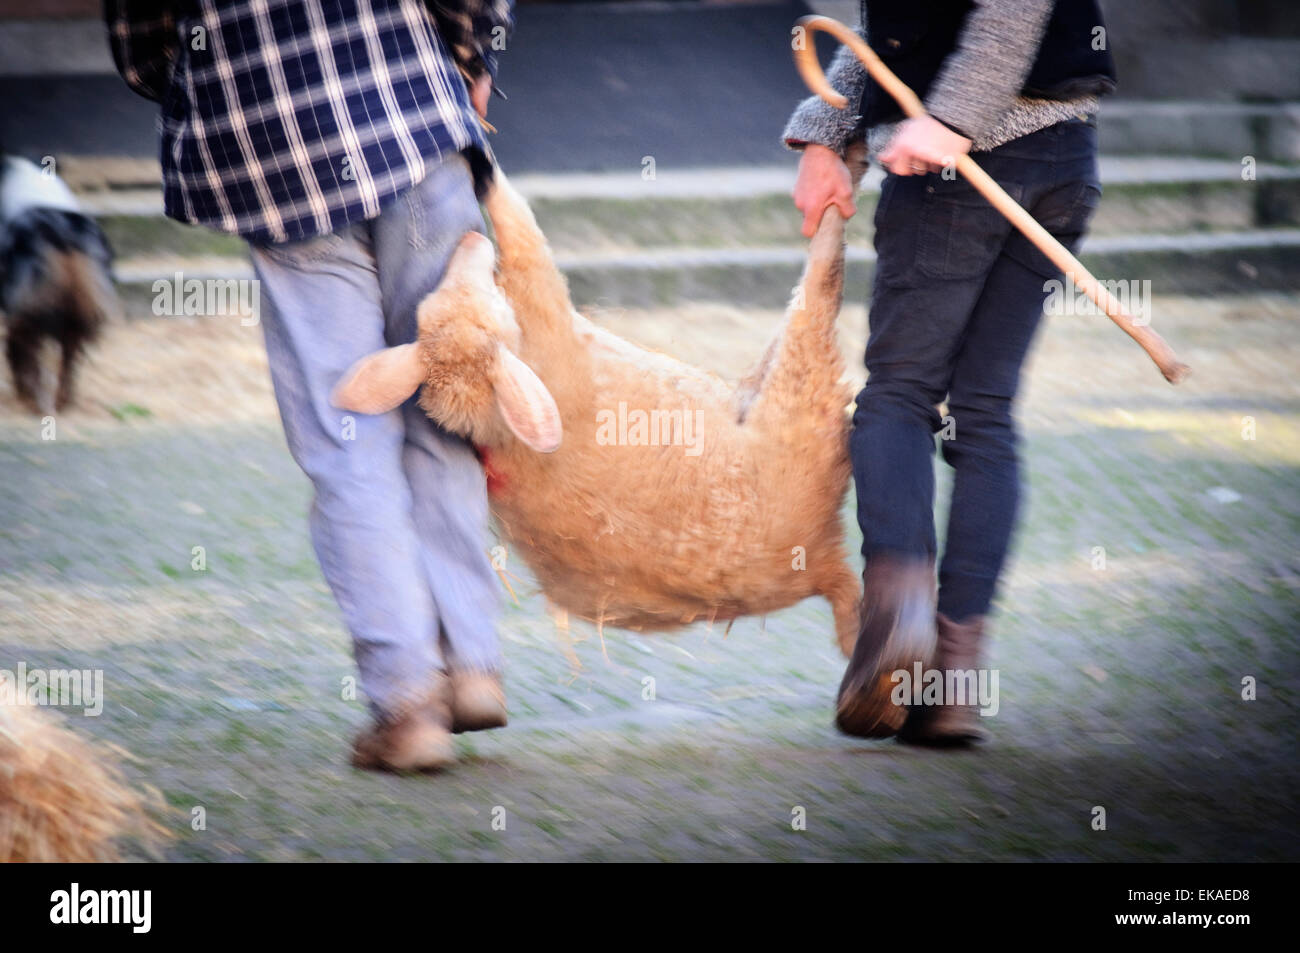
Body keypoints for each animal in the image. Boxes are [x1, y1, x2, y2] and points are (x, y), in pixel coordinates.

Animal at [334, 147, 868, 656]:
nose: (470, 244)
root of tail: (824, 564)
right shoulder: (544, 305)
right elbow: (521, 227)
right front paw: (478, 154)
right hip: (804, 387)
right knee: (821, 280)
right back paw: (846, 172)